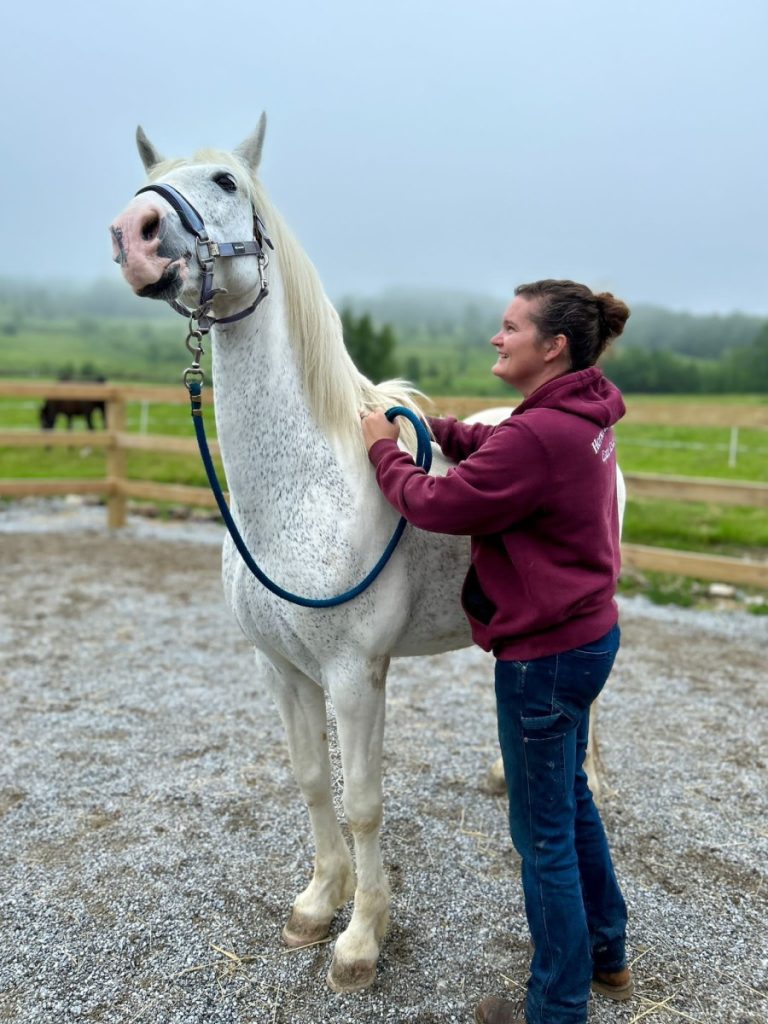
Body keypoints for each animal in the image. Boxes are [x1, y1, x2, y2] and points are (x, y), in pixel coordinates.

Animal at [109, 117, 623, 992]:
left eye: (225, 181)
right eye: (150, 181)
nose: (134, 233)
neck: (300, 489)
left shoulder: (354, 675)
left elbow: (363, 802)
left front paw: (360, 941)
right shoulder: (278, 668)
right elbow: (314, 781)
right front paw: (318, 905)